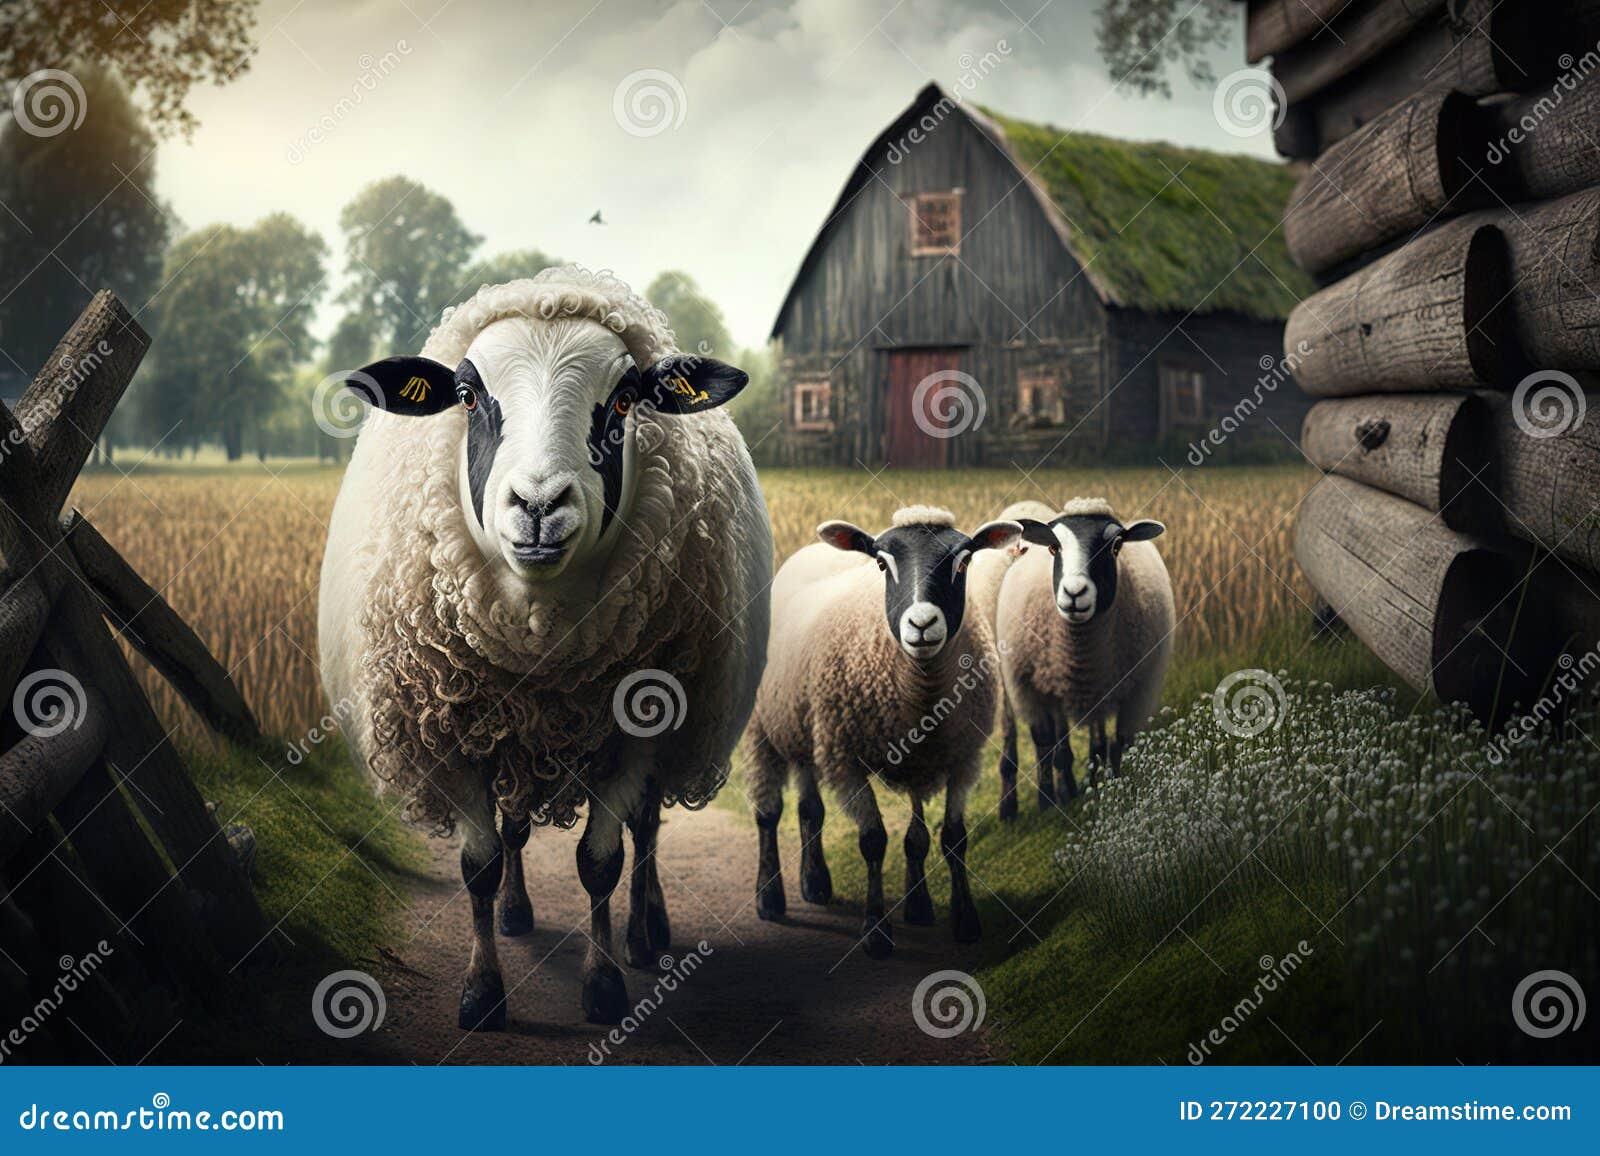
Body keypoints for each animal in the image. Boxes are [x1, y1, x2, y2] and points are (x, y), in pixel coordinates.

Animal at [317, 266, 772, 1030]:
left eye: (624, 399)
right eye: (468, 396)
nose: (537, 506)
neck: (541, 635)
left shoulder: (640, 725)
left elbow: (601, 860)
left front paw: (605, 984)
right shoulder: (451, 722)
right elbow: (478, 863)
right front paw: (481, 993)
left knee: (646, 826)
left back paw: (646, 933)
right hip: (508, 728)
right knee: (515, 830)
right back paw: (517, 913)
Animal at [744, 507, 1021, 957]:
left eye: (963, 561)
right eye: (880, 563)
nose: (922, 624)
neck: (921, 689)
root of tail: (806, 552)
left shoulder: (957, 756)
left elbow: (943, 839)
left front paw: (952, 916)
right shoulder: (846, 758)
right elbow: (873, 841)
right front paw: (876, 931)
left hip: (807, 729)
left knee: (809, 808)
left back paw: (815, 883)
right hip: (763, 730)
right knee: (769, 812)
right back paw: (769, 898)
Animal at [990, 497, 1174, 817]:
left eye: (1116, 546)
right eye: (1053, 547)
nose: (1074, 593)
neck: (1081, 650)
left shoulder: (1139, 687)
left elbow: (1122, 740)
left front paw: (1118, 788)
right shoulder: (1028, 686)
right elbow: (1044, 741)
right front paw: (1047, 799)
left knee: (1096, 734)